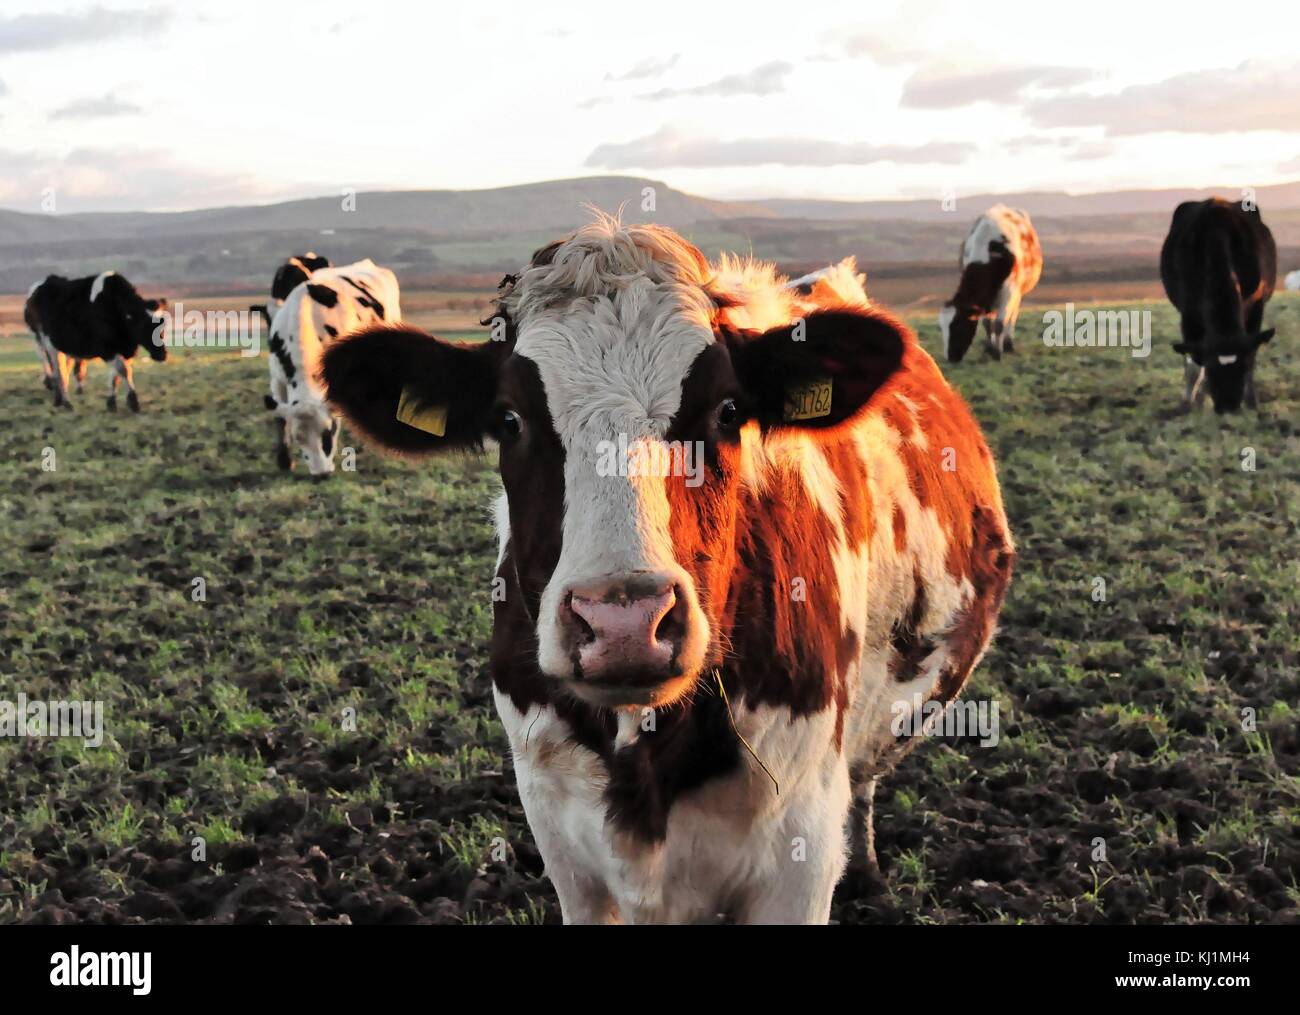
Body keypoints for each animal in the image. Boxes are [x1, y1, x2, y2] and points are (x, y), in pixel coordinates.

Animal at [25, 272, 168, 411]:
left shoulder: (124, 349)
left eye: (162, 324)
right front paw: (133, 401)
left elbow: (116, 376)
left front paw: (111, 402)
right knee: (58, 371)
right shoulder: (106, 350)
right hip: (45, 343)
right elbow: (124, 371)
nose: (161, 355)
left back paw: (58, 399)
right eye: (143, 325)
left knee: (62, 371)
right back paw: (66, 402)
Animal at [264, 259, 401, 476]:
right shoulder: (277, 378)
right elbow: (280, 418)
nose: (321, 475)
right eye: (298, 438)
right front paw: (284, 461)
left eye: (329, 432)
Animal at [320, 216, 1015, 924]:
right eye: (508, 420)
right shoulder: (564, 844)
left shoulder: (801, 850)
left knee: (866, 776)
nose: (624, 624)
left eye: (728, 411)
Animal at [939, 205, 1042, 363]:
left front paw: (997, 353)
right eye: (942, 327)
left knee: (1012, 315)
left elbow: (1000, 323)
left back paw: (1008, 344)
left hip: (1018, 291)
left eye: (958, 325)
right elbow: (987, 324)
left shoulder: (1009, 291)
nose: (951, 357)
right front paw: (989, 348)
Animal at [1160, 198, 1277, 413]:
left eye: (1241, 369)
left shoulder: (1257, 306)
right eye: (1212, 371)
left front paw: (1251, 401)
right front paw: (1191, 403)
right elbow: (1194, 363)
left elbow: (1252, 352)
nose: (1228, 407)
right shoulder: (1188, 312)